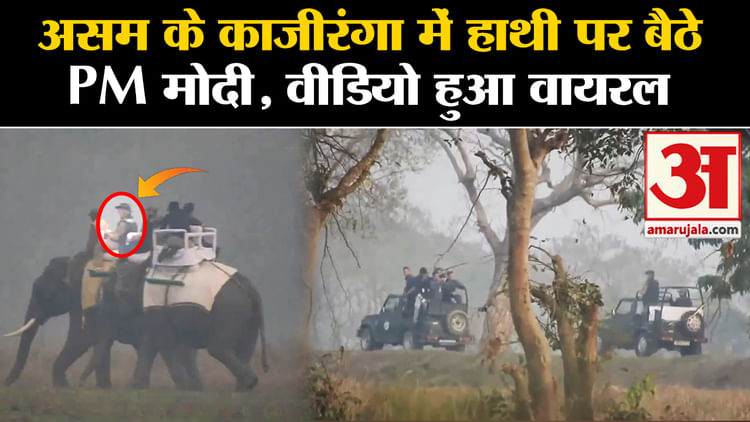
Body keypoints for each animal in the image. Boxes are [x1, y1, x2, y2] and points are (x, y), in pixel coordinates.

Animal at [107, 262, 269, 391]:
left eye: (123, 293)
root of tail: (247, 287)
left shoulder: (158, 306)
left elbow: (166, 344)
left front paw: (184, 388)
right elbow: (152, 343)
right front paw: (137, 388)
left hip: (229, 309)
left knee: (218, 349)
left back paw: (249, 383)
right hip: (248, 313)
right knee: (245, 349)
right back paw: (243, 389)